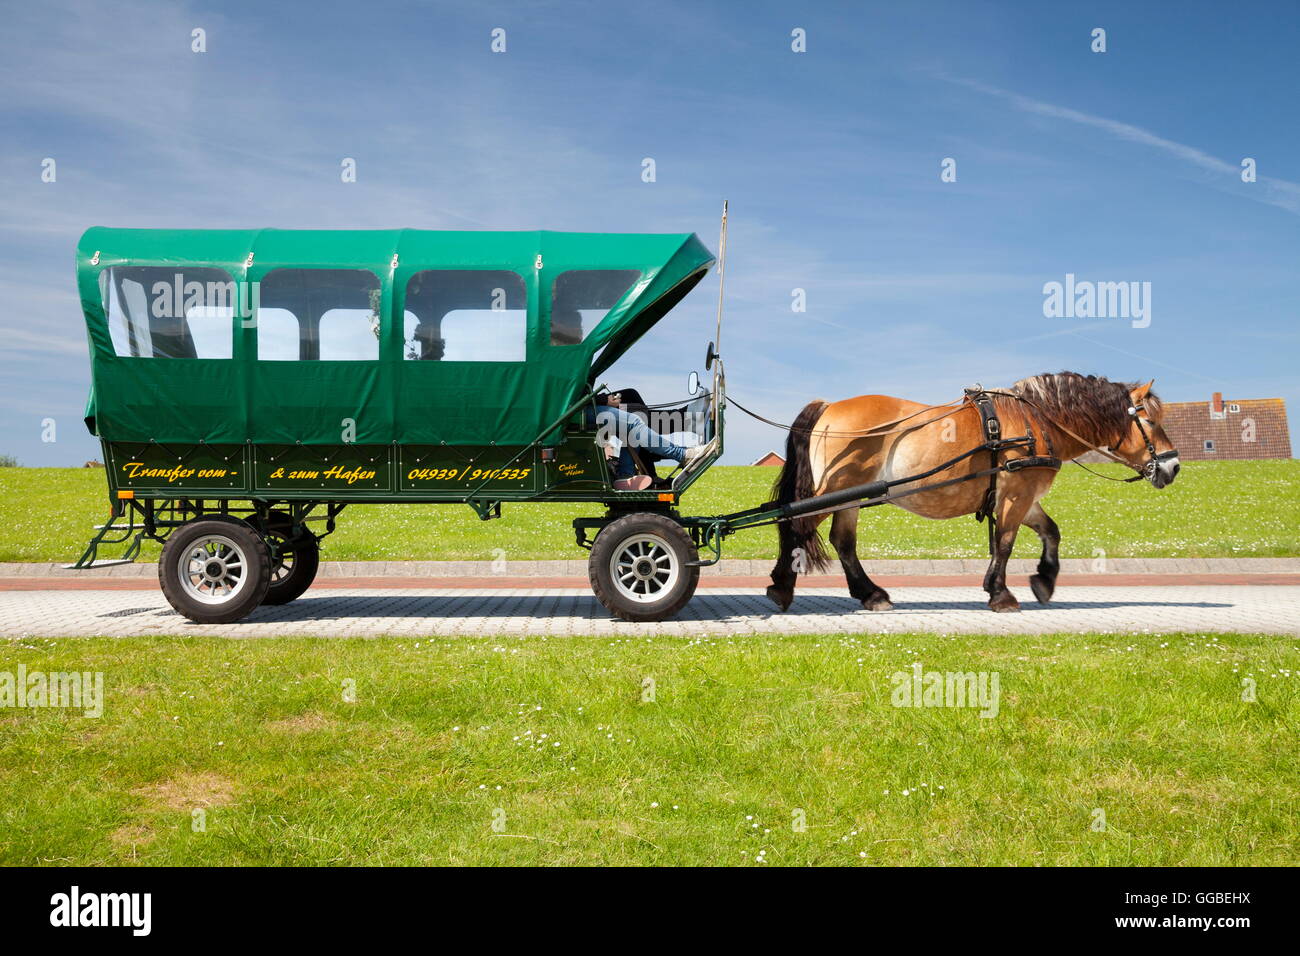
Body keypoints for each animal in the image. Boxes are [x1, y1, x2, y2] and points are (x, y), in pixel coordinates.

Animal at [766, 371, 1181, 613]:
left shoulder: (1024, 495)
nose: (1173, 466)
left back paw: (871, 594)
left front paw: (1044, 580)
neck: (1038, 421)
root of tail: (828, 406)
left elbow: (1051, 533)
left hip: (849, 496)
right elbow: (1005, 543)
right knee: (796, 524)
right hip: (836, 489)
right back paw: (782, 586)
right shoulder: (1015, 494)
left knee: (843, 542)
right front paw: (1000, 593)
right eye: (1149, 420)